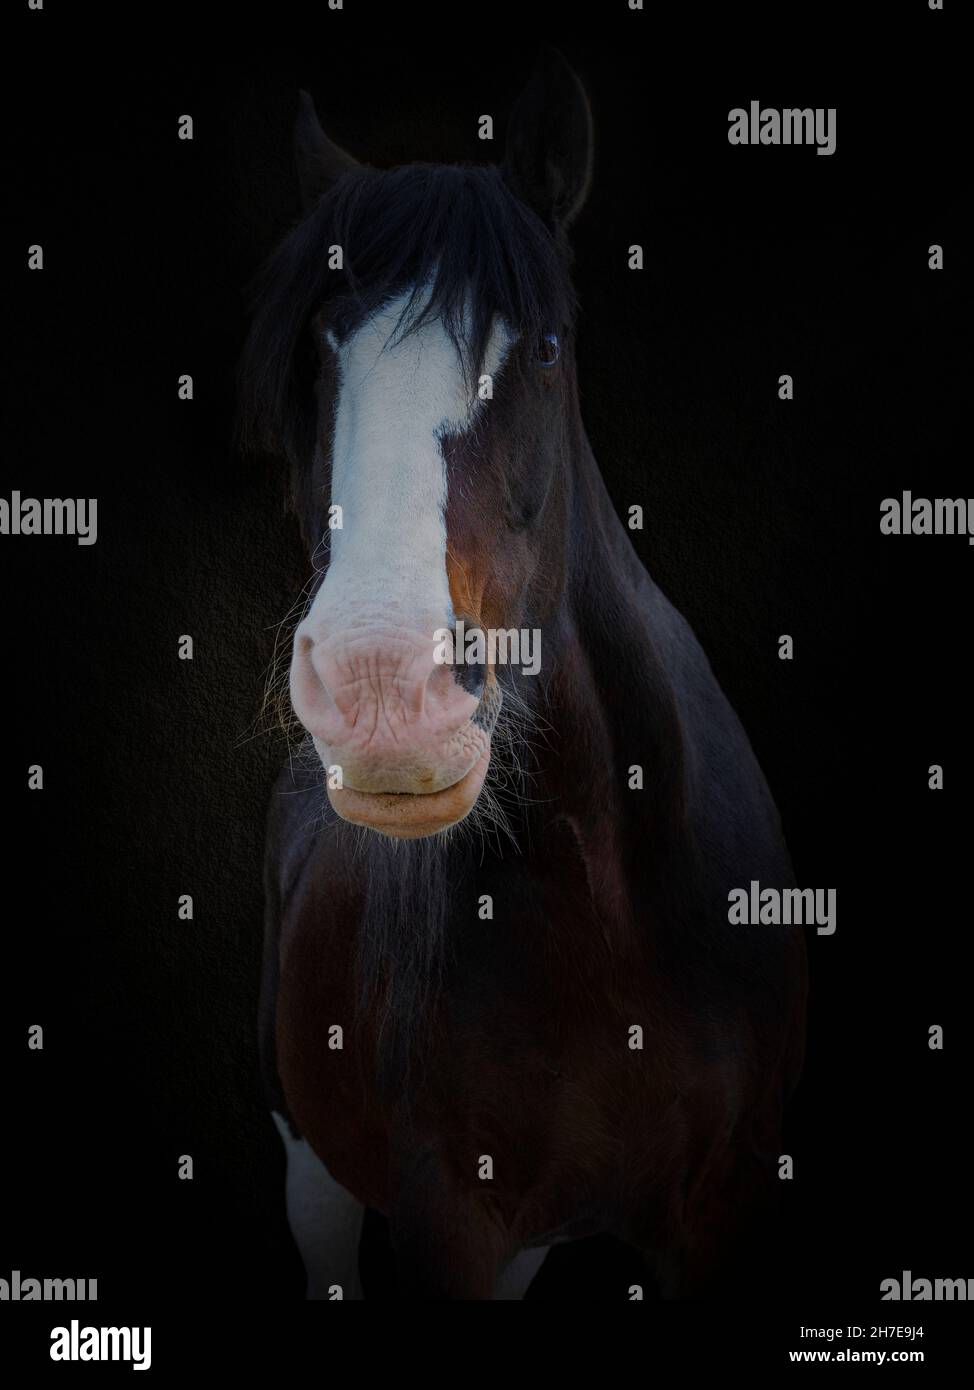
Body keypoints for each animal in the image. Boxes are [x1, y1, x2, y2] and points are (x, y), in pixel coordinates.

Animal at [241, 49, 807, 1300]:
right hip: (311, 1173)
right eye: (321, 358)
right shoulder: (448, 1224)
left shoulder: (718, 1216)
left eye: (540, 349)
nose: (382, 690)